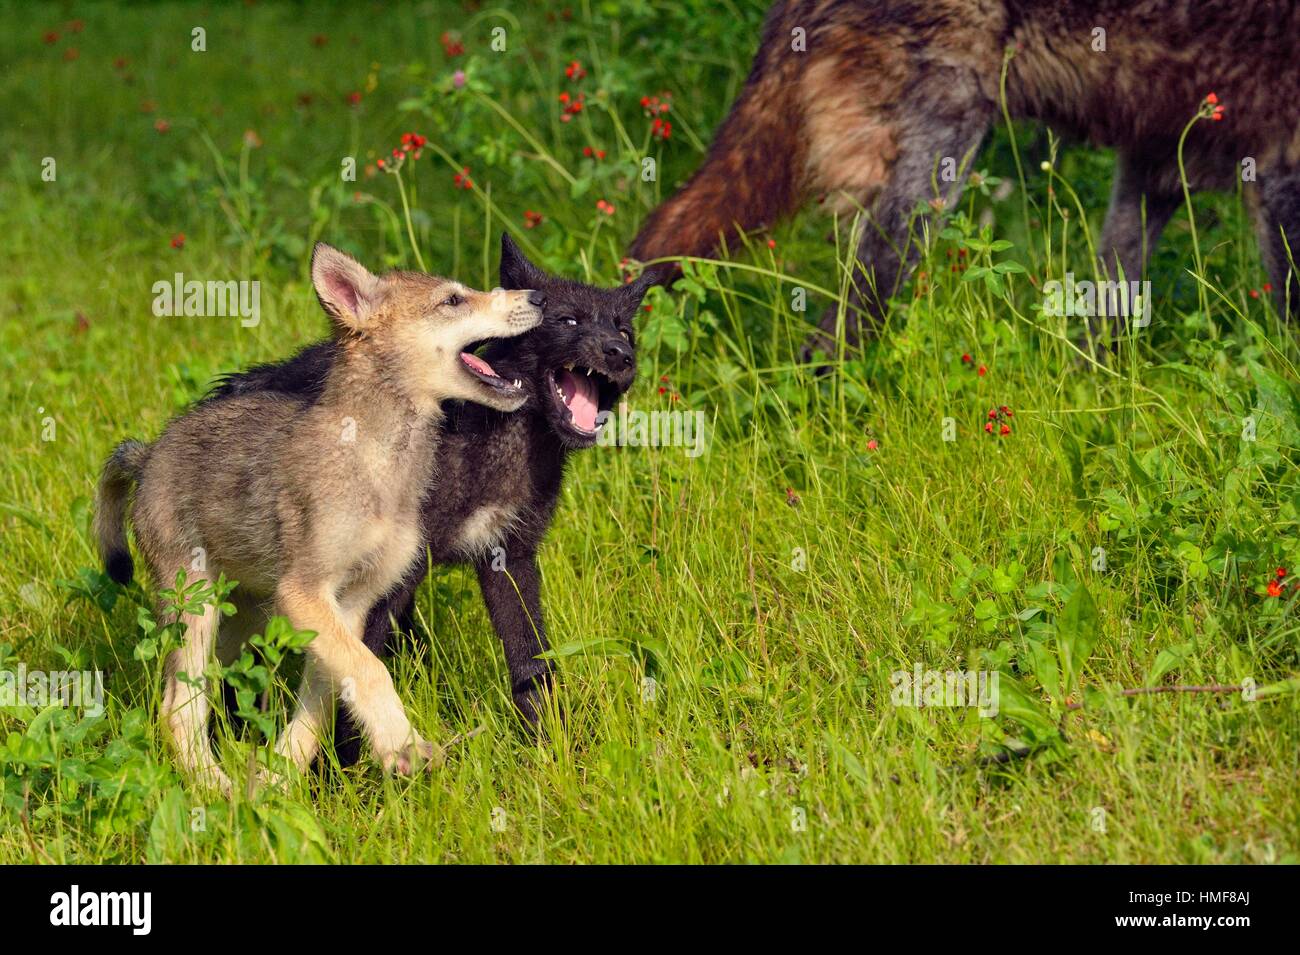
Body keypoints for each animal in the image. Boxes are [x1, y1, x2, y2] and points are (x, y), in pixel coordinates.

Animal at [94, 243, 544, 790]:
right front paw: (404, 747)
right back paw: (215, 790)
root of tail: (148, 454)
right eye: (453, 300)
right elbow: (372, 671)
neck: (376, 463)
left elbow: (324, 701)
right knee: (178, 708)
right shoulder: (305, 593)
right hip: (196, 607)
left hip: (242, 616)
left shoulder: (350, 604)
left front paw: (275, 782)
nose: (538, 295)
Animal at [210, 234, 661, 763]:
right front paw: (351, 774)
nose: (620, 356)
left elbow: (532, 666)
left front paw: (554, 749)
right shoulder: (391, 574)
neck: (491, 447)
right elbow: (356, 672)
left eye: (624, 330)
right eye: (568, 320)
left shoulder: (509, 560)